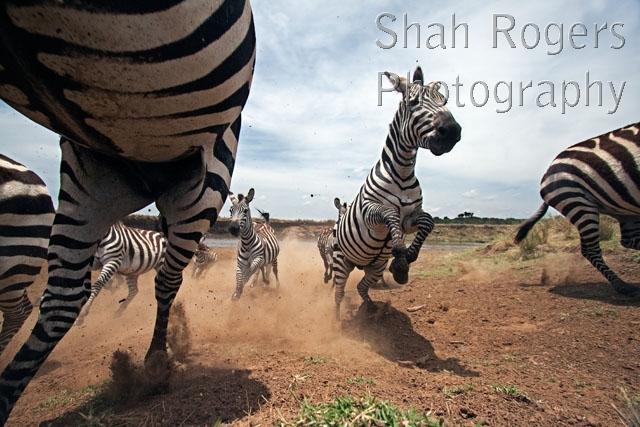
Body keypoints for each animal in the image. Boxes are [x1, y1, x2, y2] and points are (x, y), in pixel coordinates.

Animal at [332, 67, 462, 318]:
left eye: (444, 100)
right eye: (413, 102)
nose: (452, 131)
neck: (402, 172)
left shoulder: (409, 219)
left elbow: (428, 222)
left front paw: (406, 261)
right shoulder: (371, 213)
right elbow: (389, 214)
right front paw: (400, 253)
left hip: (375, 266)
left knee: (362, 287)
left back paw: (371, 311)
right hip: (341, 263)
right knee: (338, 294)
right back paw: (336, 320)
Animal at [515, 122, 640, 297]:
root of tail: (547, 172)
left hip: (623, 212)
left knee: (628, 240)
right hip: (580, 203)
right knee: (591, 249)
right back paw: (623, 286)